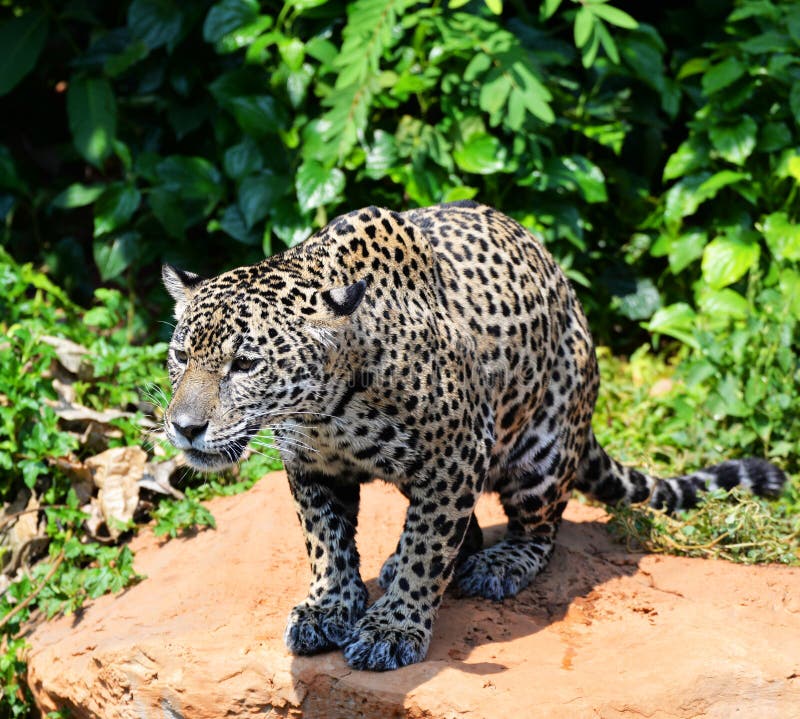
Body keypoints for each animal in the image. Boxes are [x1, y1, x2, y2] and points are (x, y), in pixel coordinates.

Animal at [162, 201, 786, 672]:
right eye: (181, 356)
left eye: (245, 363)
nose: (184, 427)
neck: (328, 408)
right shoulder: (312, 466)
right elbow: (326, 543)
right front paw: (329, 609)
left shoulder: (454, 458)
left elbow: (427, 549)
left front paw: (392, 630)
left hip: (540, 454)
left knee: (538, 533)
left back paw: (496, 565)